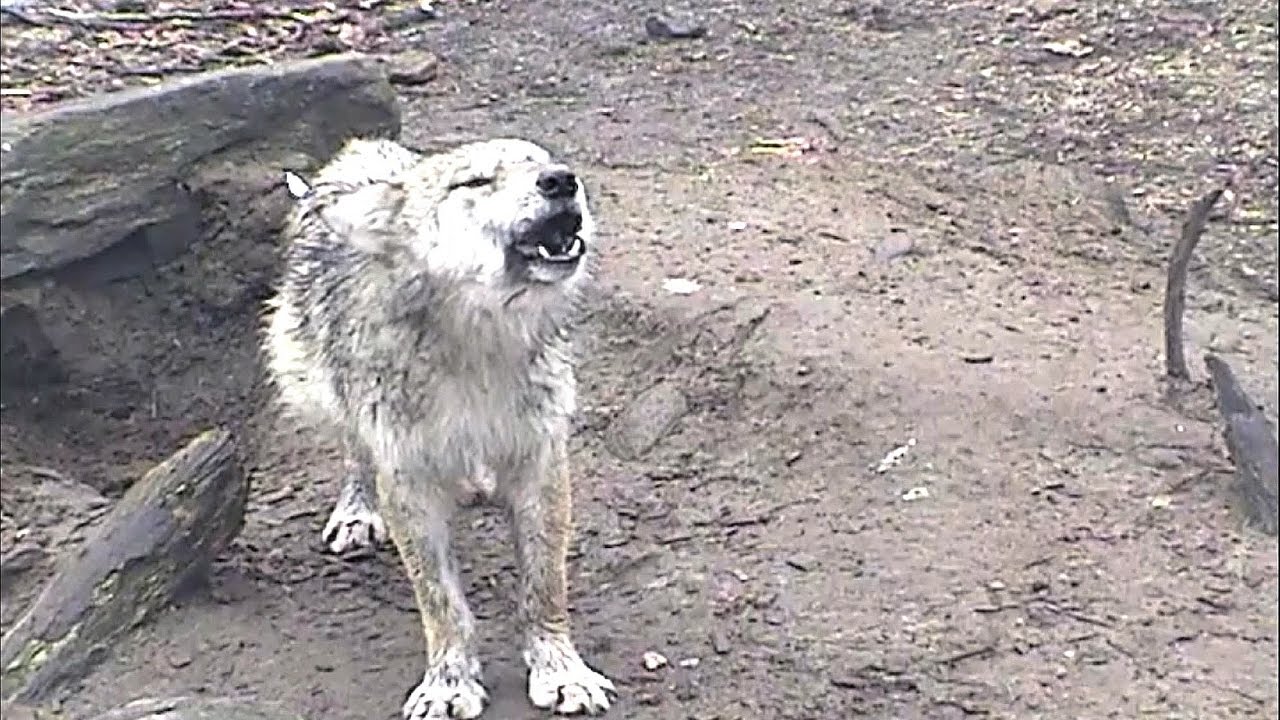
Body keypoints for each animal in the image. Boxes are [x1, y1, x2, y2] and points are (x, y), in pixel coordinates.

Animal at [262, 136, 615, 718]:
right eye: (474, 181)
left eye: (543, 161)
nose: (561, 180)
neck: (477, 345)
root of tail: (362, 152)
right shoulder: (409, 479)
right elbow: (440, 600)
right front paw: (450, 682)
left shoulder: (539, 459)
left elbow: (544, 585)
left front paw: (562, 671)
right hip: (318, 391)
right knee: (354, 448)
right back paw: (357, 511)